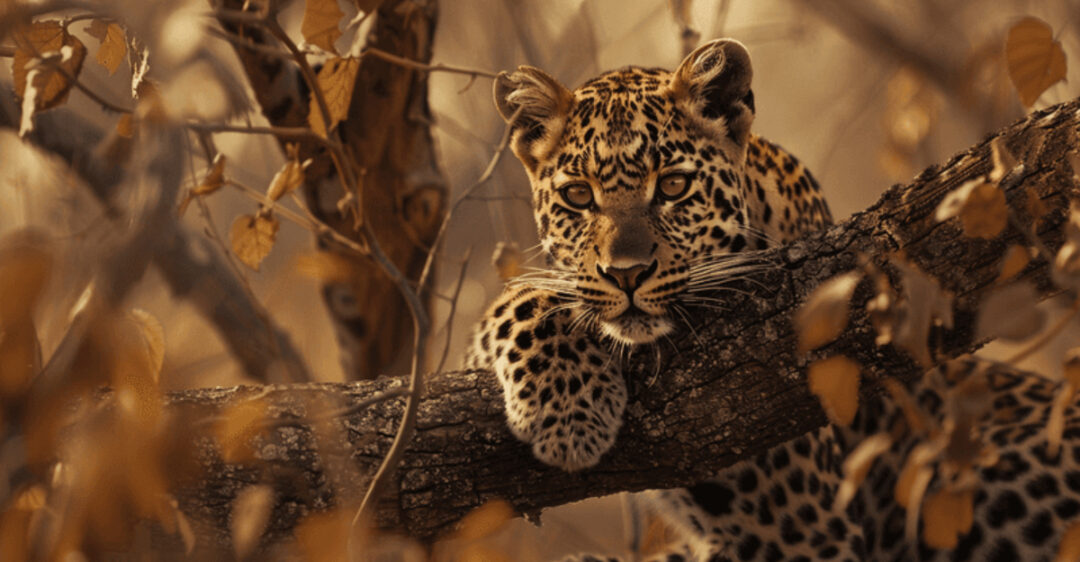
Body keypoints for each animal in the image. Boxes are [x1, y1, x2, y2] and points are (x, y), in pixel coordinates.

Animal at [465, 39, 1080, 561]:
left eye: (673, 187)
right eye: (577, 196)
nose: (627, 273)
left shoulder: (795, 526)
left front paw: (569, 418)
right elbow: (523, 295)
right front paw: (567, 410)